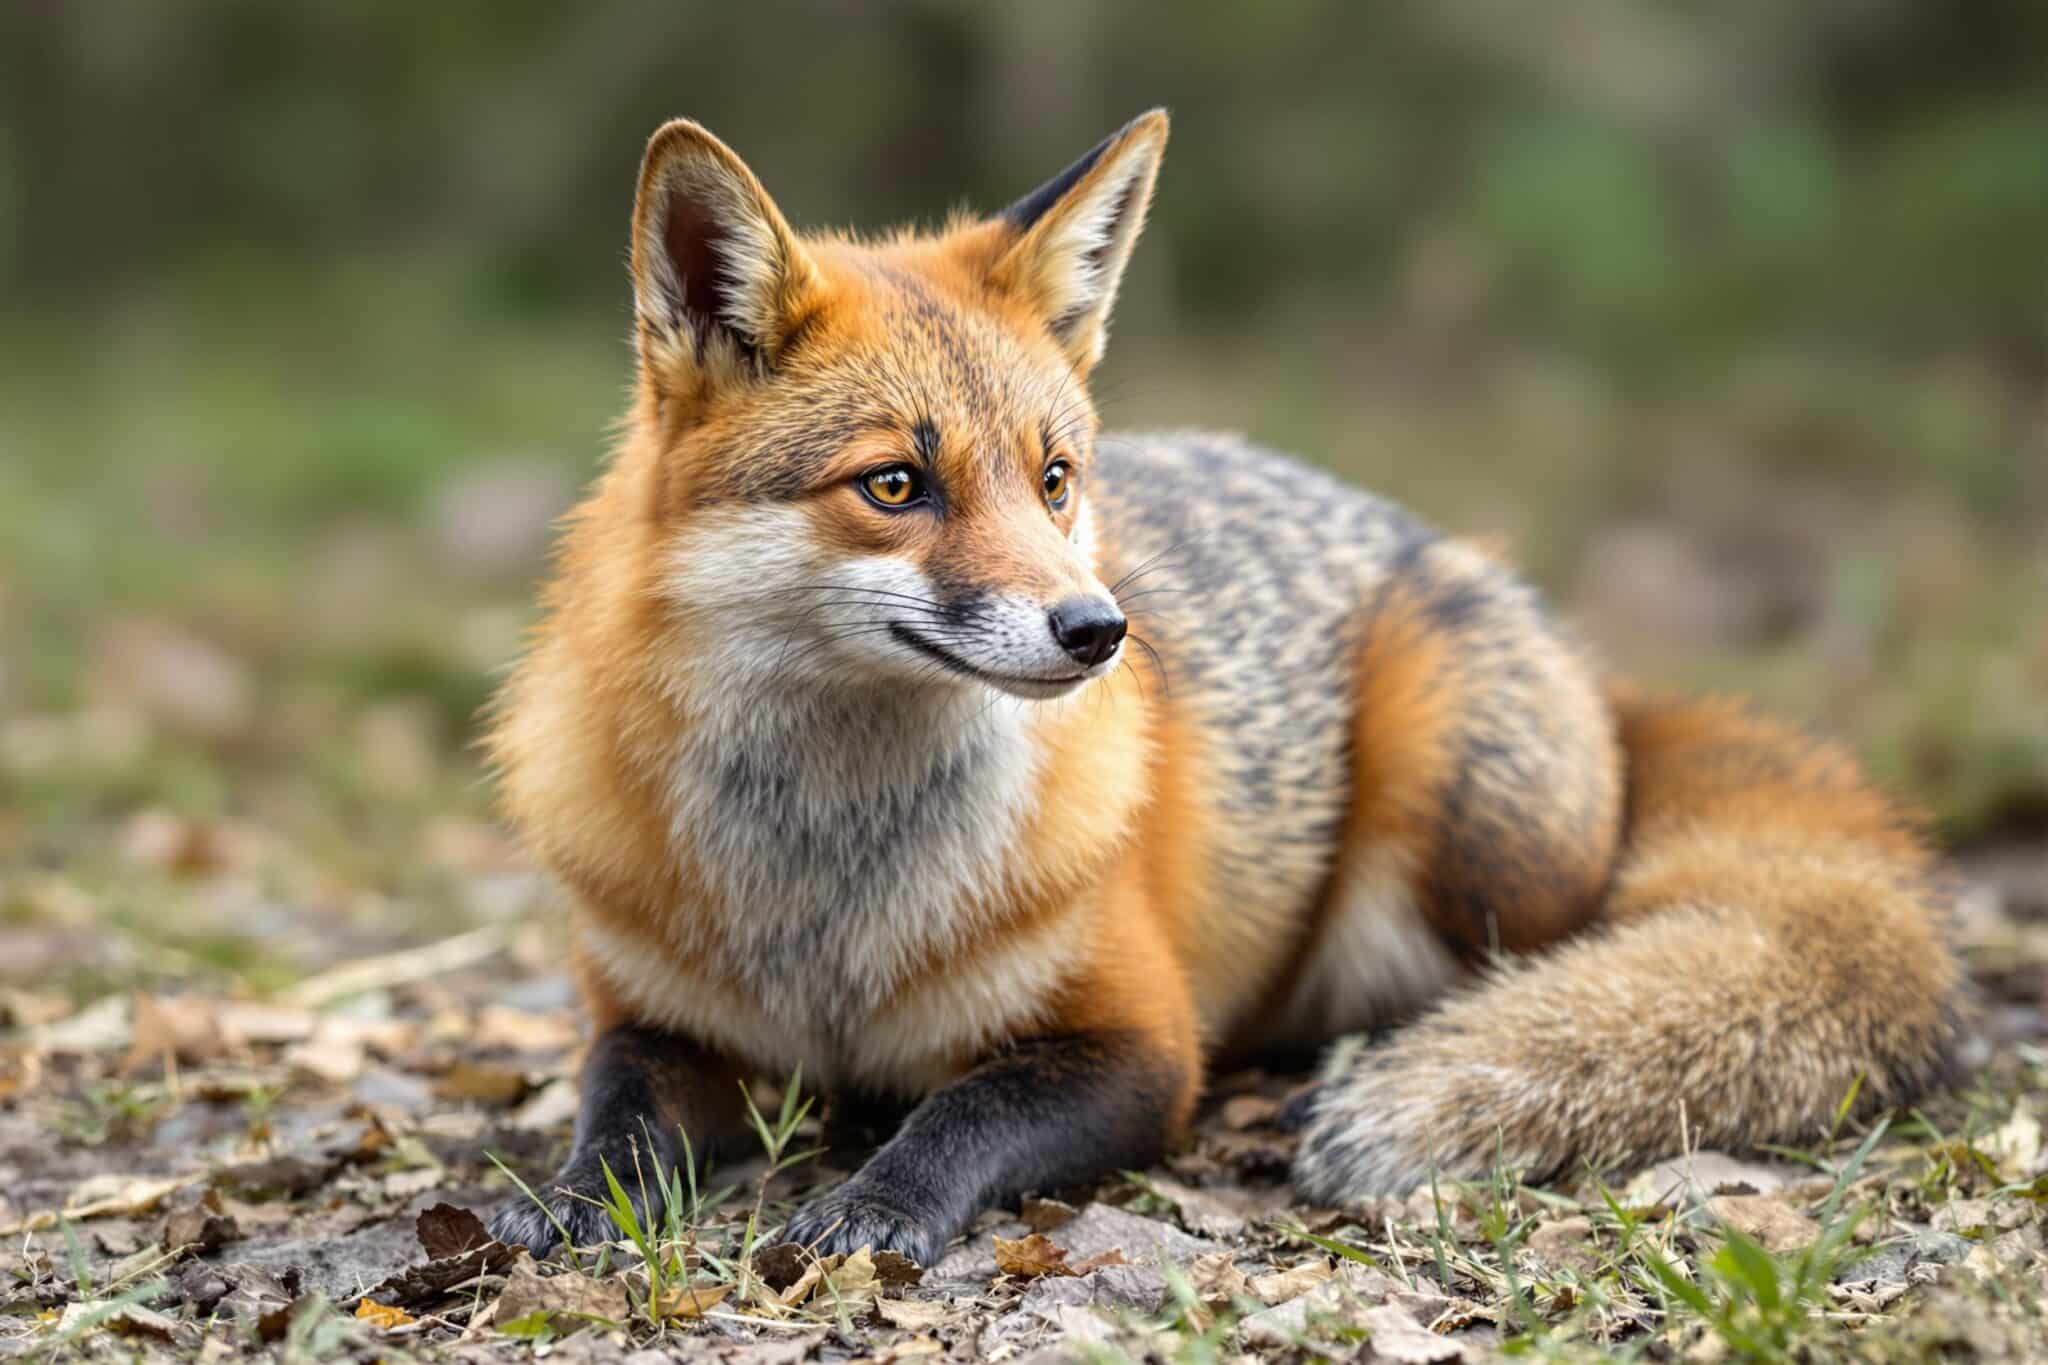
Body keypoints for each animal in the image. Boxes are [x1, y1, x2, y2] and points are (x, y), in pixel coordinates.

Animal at [482, 109, 1963, 1265]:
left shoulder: (1141, 1044)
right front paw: (561, 1205)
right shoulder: (652, 1017)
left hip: (1461, 812)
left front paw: (877, 1200)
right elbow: (613, 1127)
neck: (822, 917)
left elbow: (959, 1114)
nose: (1100, 630)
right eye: (895, 484)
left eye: (1055, 477)